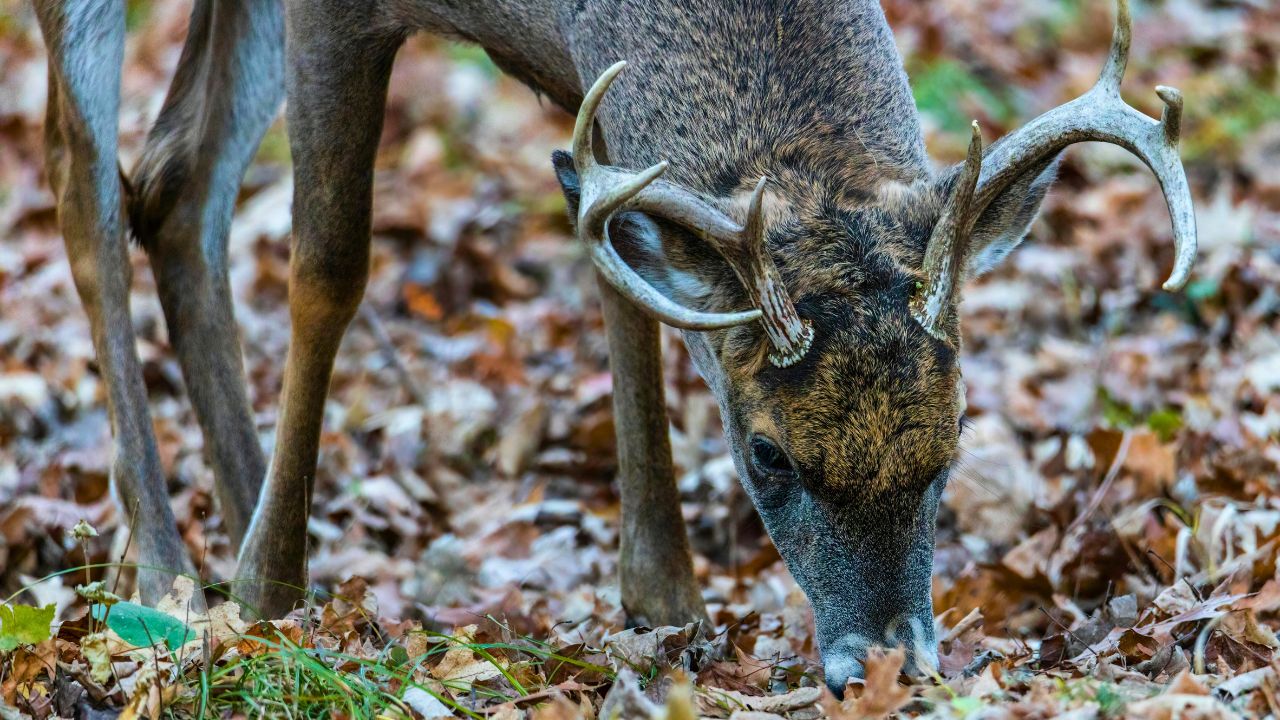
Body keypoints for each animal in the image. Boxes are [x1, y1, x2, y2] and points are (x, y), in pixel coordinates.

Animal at [32, 0, 1195, 691]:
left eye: (952, 443)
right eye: (768, 456)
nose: (886, 668)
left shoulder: (588, 90)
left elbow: (624, 278)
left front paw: (663, 596)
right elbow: (328, 266)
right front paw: (271, 595)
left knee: (177, 178)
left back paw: (237, 513)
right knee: (83, 179)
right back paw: (174, 570)